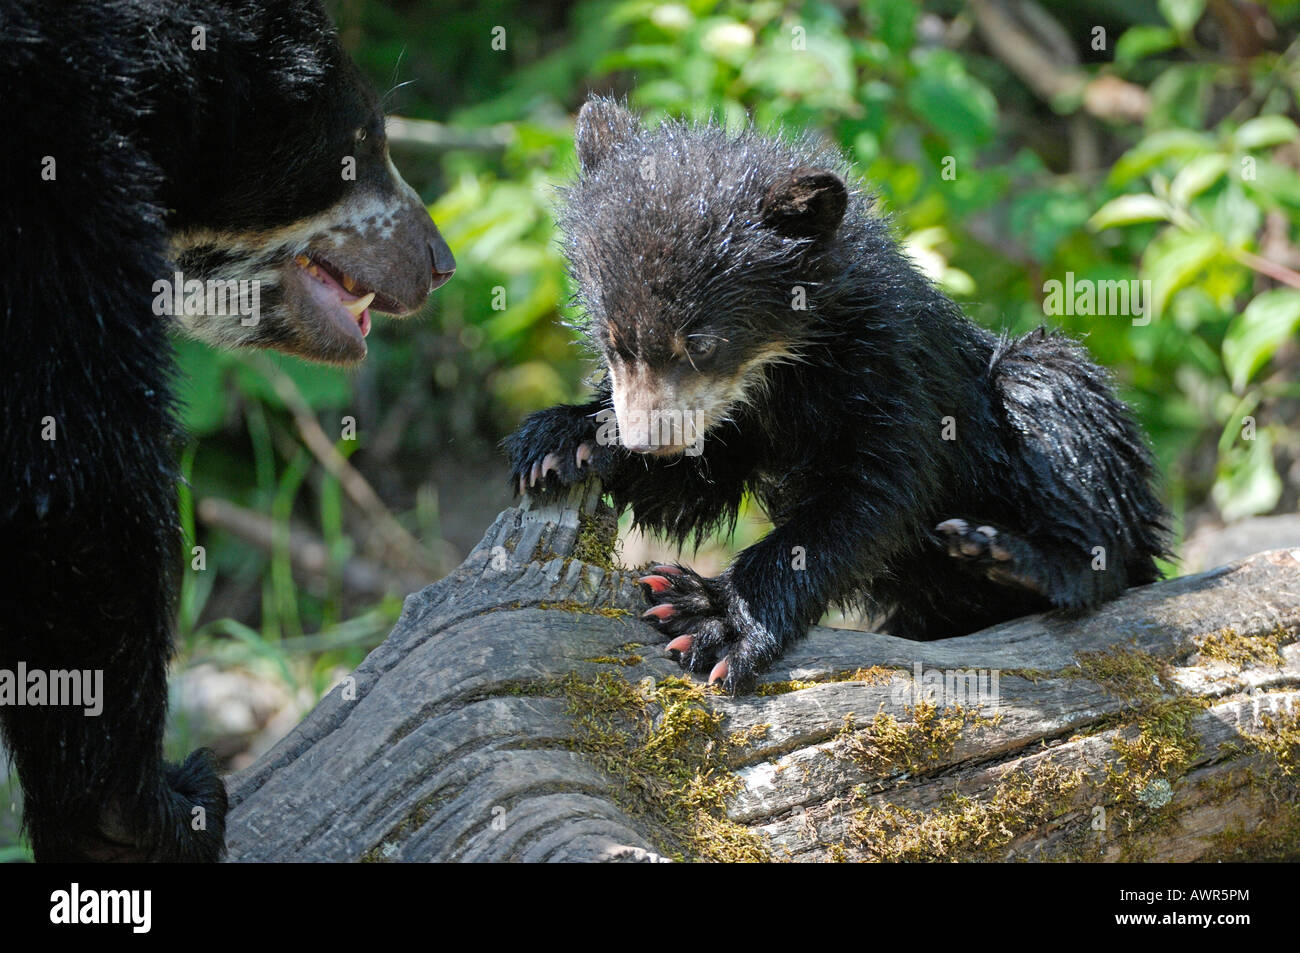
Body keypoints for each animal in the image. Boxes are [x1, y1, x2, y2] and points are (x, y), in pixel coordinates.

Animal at [505, 96, 1169, 693]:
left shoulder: (888, 367)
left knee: (1057, 406)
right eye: (611, 338)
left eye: (702, 344)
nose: (649, 441)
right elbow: (690, 490)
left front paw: (711, 616)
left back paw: (1009, 556)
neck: (780, 368)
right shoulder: (730, 417)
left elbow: (868, 494)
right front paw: (563, 441)